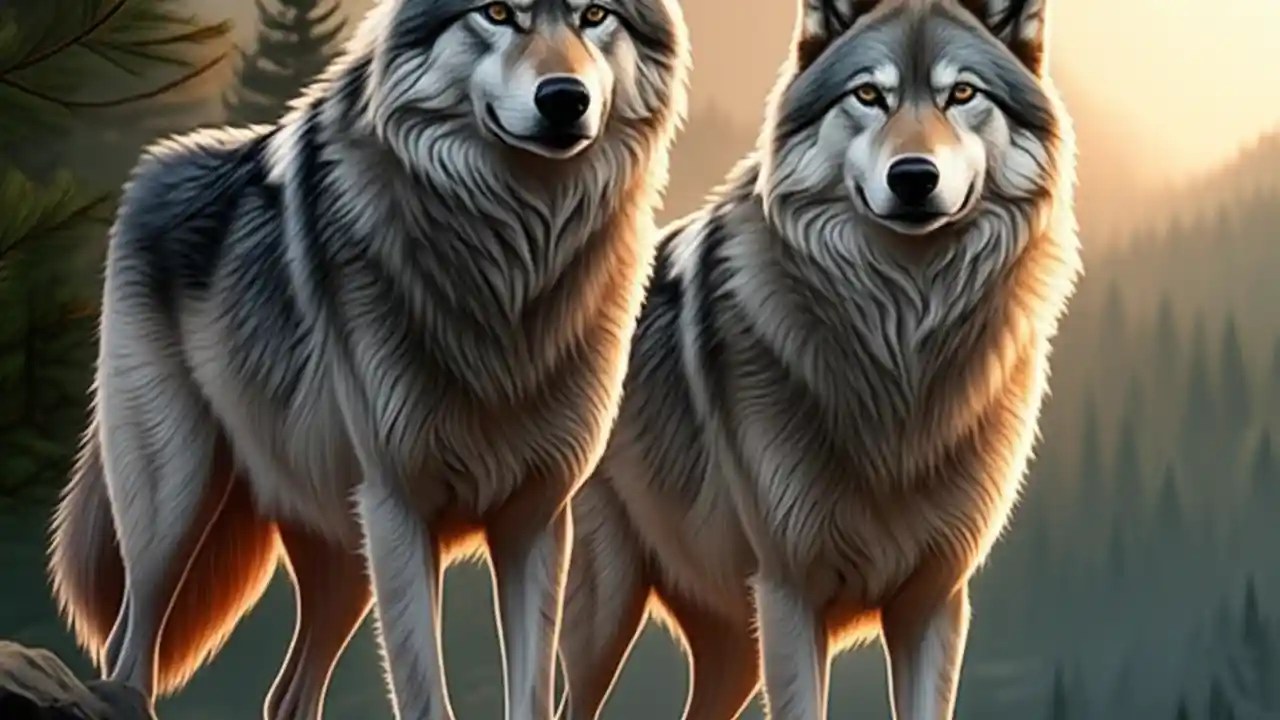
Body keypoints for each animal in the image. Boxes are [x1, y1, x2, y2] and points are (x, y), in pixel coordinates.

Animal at [46, 0, 689, 718]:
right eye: (497, 13)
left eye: (595, 15)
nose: (564, 99)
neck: (513, 276)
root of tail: (153, 166)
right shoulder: (401, 509)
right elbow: (424, 694)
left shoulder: (537, 518)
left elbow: (529, 692)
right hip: (177, 500)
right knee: (129, 644)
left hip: (344, 551)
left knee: (285, 693)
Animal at [557, 1, 1080, 718]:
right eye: (869, 95)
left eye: (962, 93)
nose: (913, 176)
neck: (900, 343)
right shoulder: (790, 595)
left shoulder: (934, 603)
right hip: (608, 605)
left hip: (733, 650)